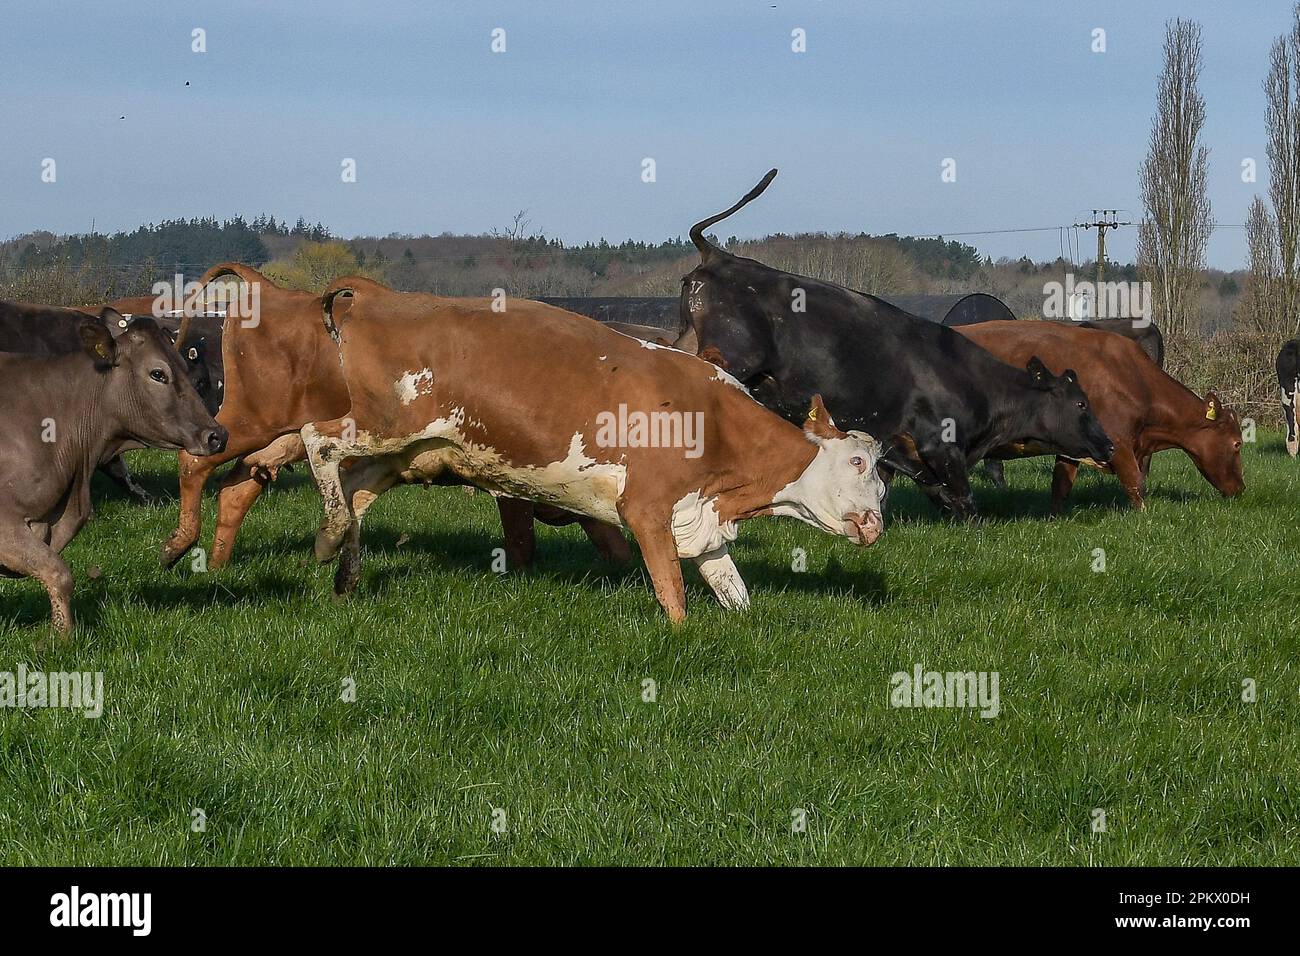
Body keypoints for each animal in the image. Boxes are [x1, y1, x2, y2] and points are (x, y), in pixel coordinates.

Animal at [0, 314, 226, 633]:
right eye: (158, 374)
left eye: (185, 368)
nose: (216, 435)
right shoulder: (6, 522)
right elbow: (58, 573)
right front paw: (60, 637)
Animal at [157, 264, 629, 572]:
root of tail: (269, 290)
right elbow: (523, 538)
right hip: (248, 422)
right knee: (194, 462)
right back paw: (180, 543)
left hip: (276, 440)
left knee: (236, 491)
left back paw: (217, 564)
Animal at [300, 278, 888, 622]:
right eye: (857, 463)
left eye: (883, 484)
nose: (875, 525)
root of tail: (377, 294)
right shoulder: (648, 510)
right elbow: (673, 597)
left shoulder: (697, 516)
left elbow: (735, 594)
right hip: (384, 425)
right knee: (317, 440)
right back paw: (327, 538)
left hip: (410, 452)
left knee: (355, 492)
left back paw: (345, 576)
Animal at [679, 170, 1115, 518]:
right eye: (1081, 403)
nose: (1109, 445)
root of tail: (719, 257)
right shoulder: (941, 445)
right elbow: (964, 499)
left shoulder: (894, 445)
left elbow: (892, 487)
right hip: (732, 357)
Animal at [956, 321, 1244, 511]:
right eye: (1237, 444)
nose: (1241, 489)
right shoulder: (1118, 442)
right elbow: (1136, 484)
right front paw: (1144, 518)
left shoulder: (1072, 446)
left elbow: (1061, 485)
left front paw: (1054, 518)